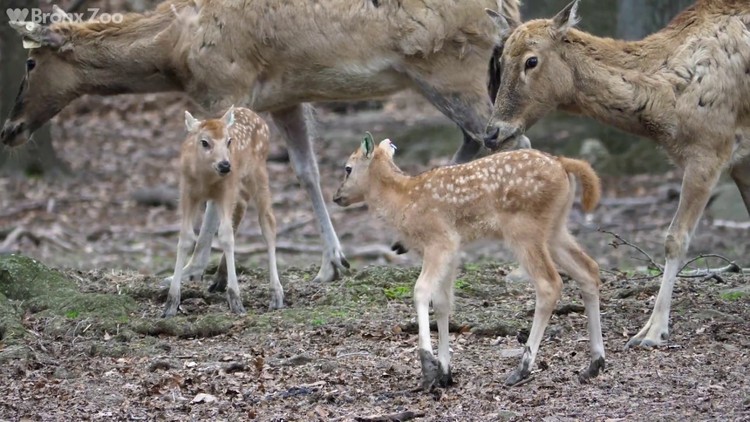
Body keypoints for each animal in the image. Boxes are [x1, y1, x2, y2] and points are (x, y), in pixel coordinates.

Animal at [1, 0, 529, 287]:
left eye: (29, 63)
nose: (9, 129)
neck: (175, 52)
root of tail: (509, 14)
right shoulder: (285, 97)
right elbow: (305, 171)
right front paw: (332, 263)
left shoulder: (226, 87)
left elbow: (223, 182)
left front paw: (193, 271)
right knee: (479, 139)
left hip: (450, 68)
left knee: (509, 138)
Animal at [164, 105, 284, 318]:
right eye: (204, 142)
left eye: (229, 141)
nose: (225, 165)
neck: (206, 179)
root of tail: (255, 115)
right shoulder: (187, 192)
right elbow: (185, 237)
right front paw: (171, 303)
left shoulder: (226, 190)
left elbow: (226, 236)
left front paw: (236, 300)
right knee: (243, 209)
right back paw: (219, 281)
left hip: (258, 171)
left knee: (268, 223)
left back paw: (276, 295)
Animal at [332, 132, 605, 389]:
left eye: (348, 168)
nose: (336, 196)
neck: (404, 200)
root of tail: (562, 163)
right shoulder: (452, 251)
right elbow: (443, 303)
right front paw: (444, 372)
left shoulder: (440, 241)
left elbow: (421, 291)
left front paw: (428, 366)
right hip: (555, 229)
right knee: (589, 270)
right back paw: (594, 364)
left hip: (524, 229)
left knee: (550, 284)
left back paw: (522, 368)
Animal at [483, 0, 750, 349]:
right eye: (500, 60)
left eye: (531, 60)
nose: (492, 133)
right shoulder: (740, 160)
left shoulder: (710, 149)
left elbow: (675, 239)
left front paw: (652, 331)